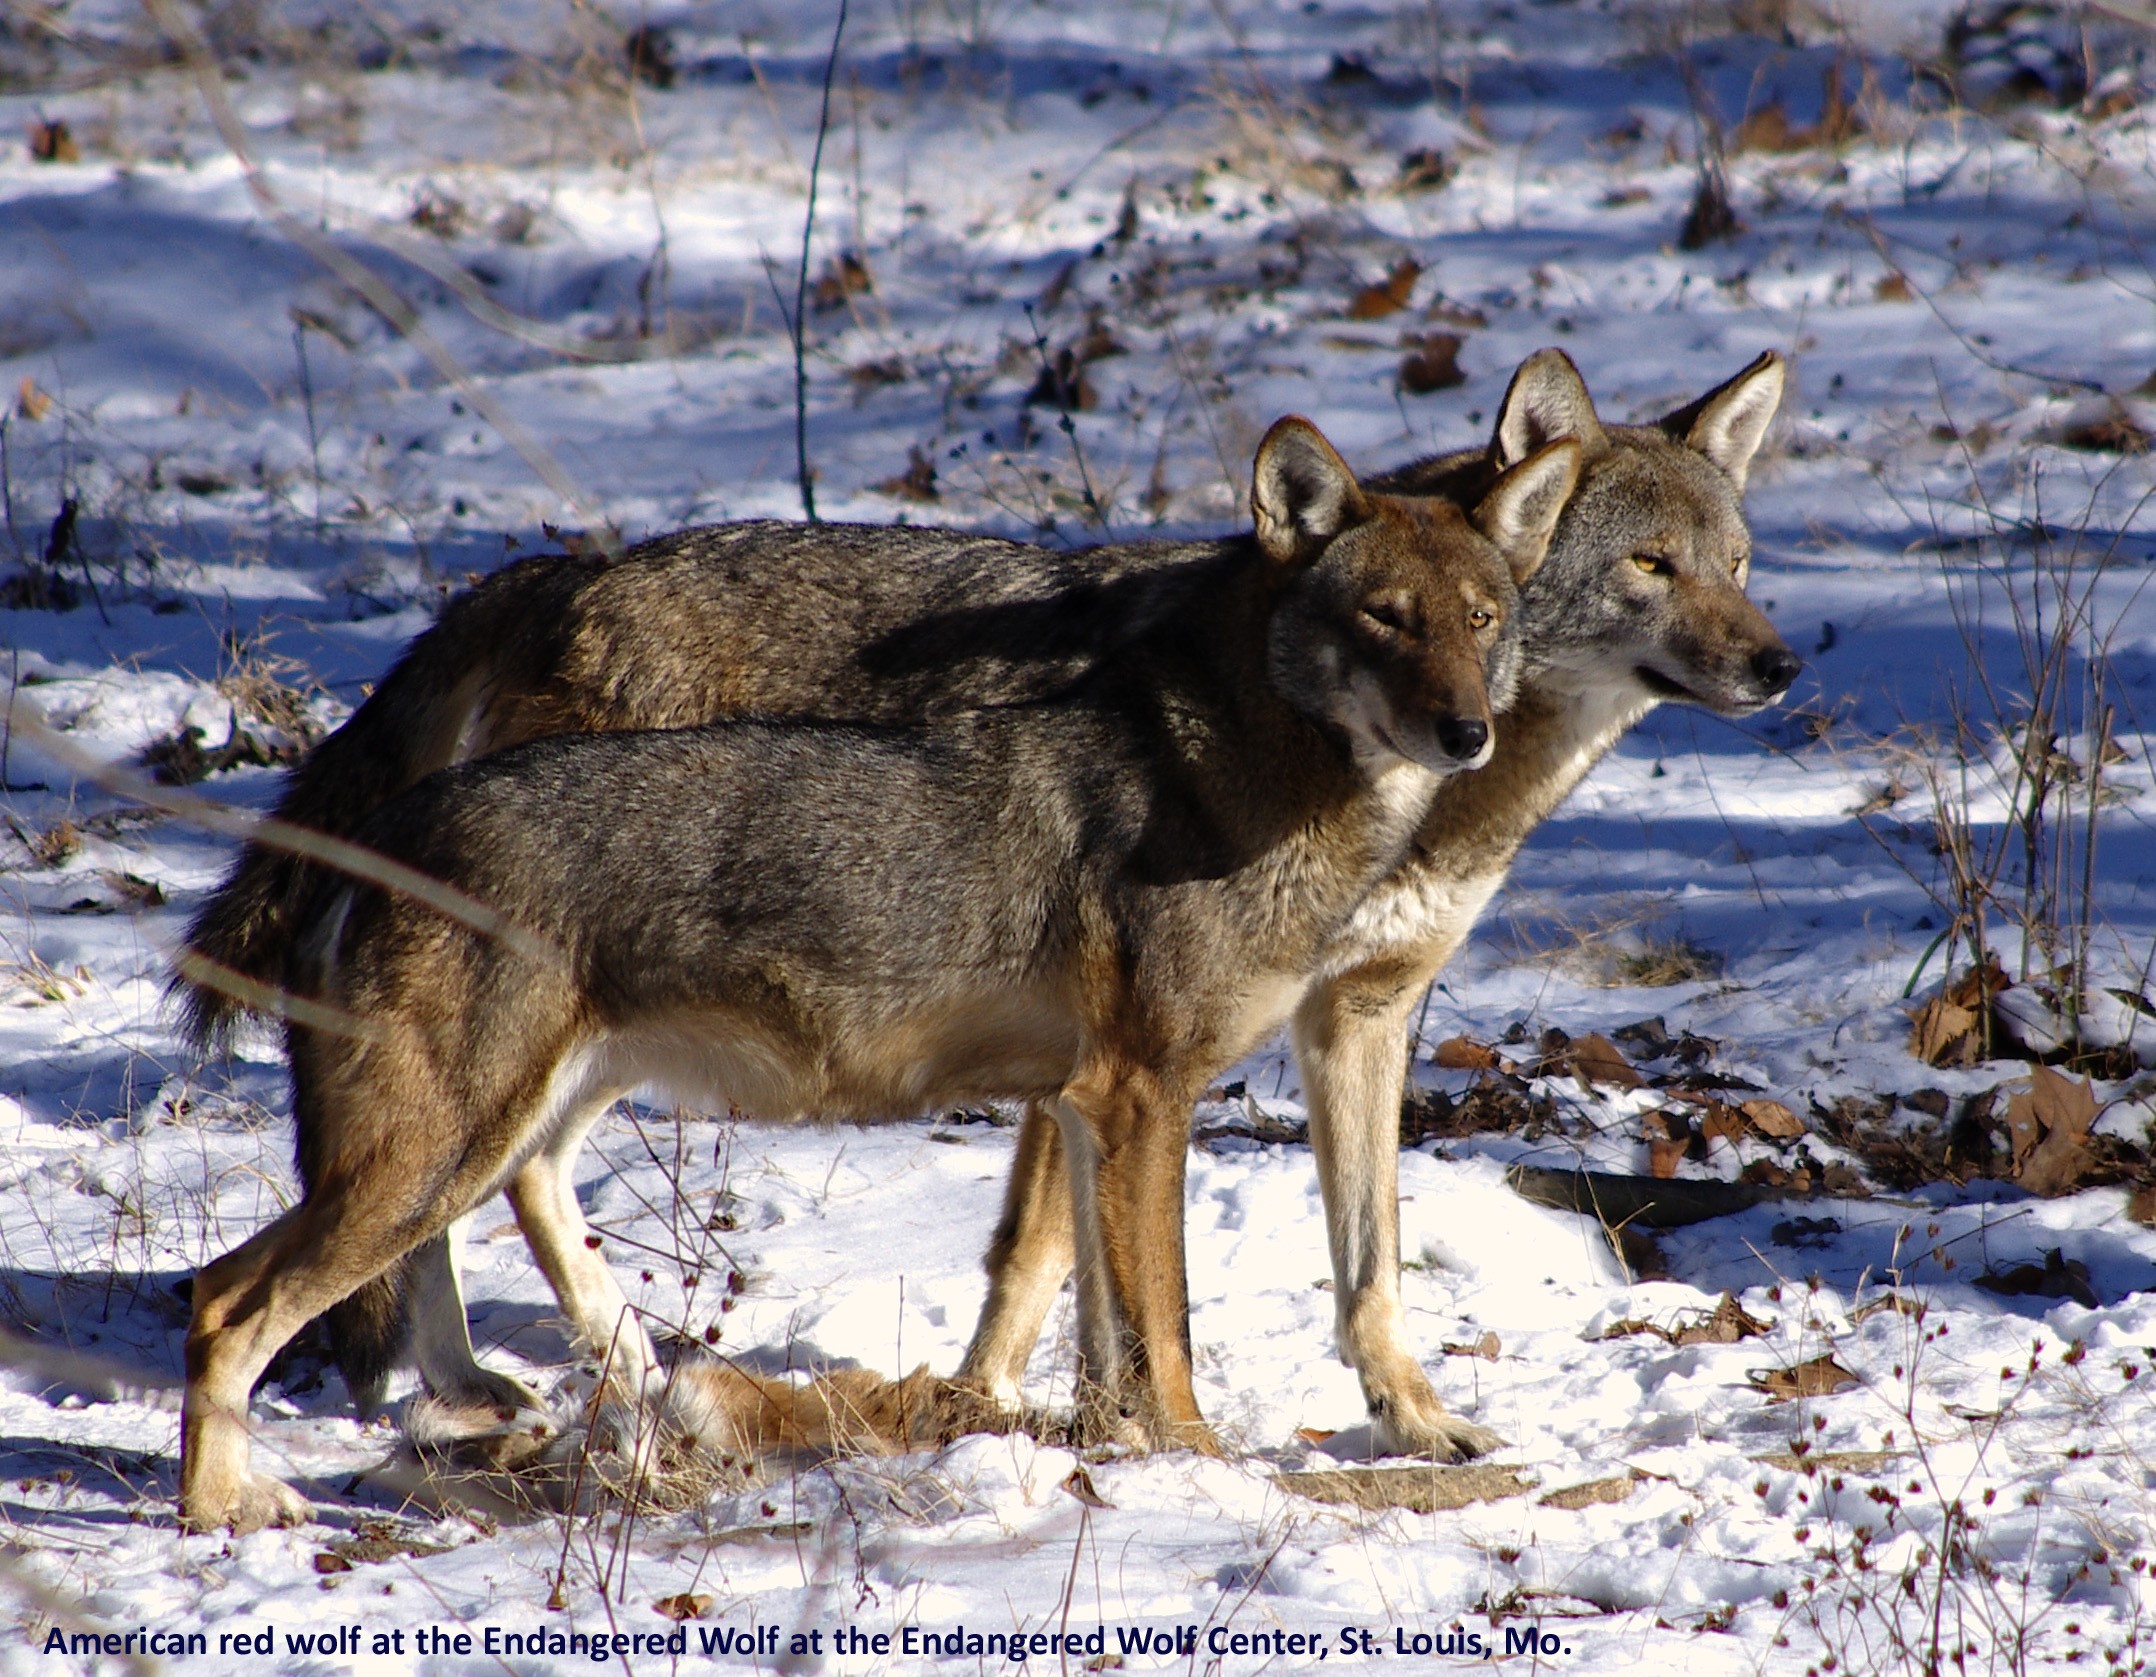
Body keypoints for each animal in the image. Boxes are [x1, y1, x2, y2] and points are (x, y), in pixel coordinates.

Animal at [177, 350, 1791, 1464]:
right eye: (1650, 564)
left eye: (1736, 561)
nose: (1778, 662)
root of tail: (548, 572)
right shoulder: (1135, 1073)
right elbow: (1100, 1282)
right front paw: (1095, 1435)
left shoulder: (1340, 1023)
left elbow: (1354, 1270)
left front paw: (1399, 1425)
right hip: (510, 1072)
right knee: (432, 1212)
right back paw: (496, 1390)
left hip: (563, 1068)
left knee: (493, 1196)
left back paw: (533, 1383)